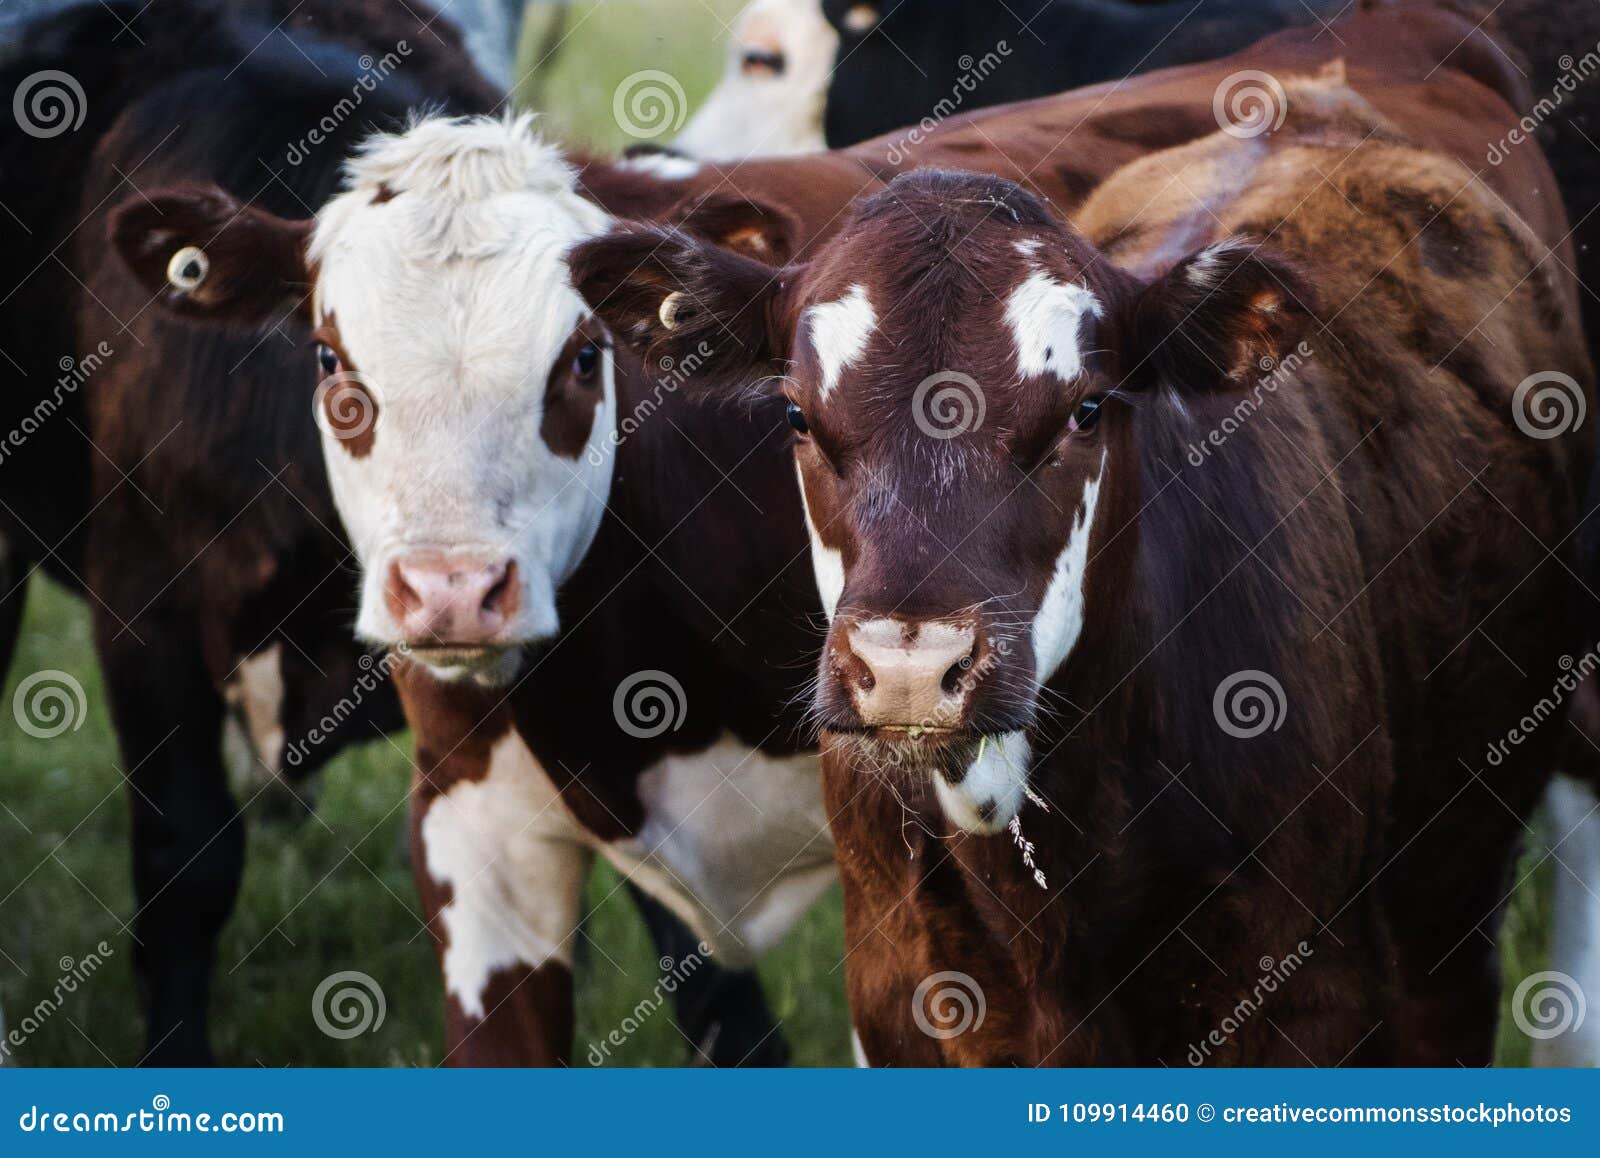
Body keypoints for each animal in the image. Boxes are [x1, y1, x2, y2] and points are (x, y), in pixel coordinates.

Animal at [0, 0, 790, 1065]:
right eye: (331, 357)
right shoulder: (144, 618)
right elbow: (185, 873)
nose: (453, 591)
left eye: (587, 357)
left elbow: (700, 961)